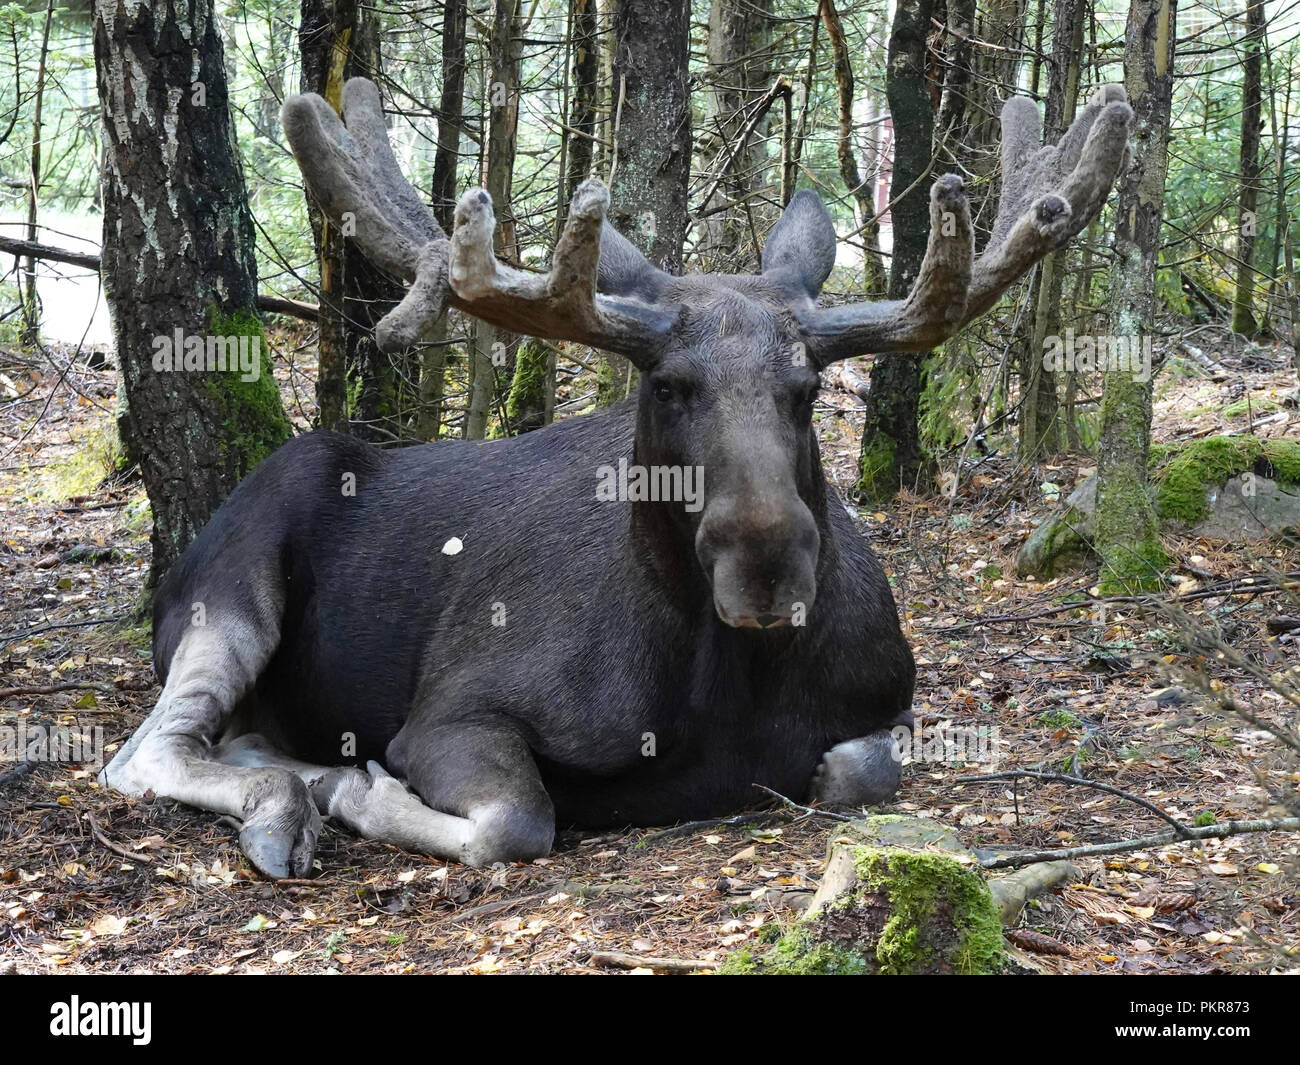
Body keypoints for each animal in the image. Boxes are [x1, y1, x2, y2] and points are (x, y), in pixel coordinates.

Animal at [99, 77, 1133, 878]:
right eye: (668, 385)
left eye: (807, 388)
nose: (766, 564)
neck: (724, 681)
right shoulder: (451, 711)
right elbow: (515, 820)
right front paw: (358, 785)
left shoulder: (890, 699)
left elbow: (858, 770)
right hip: (231, 588)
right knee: (144, 750)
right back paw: (292, 801)